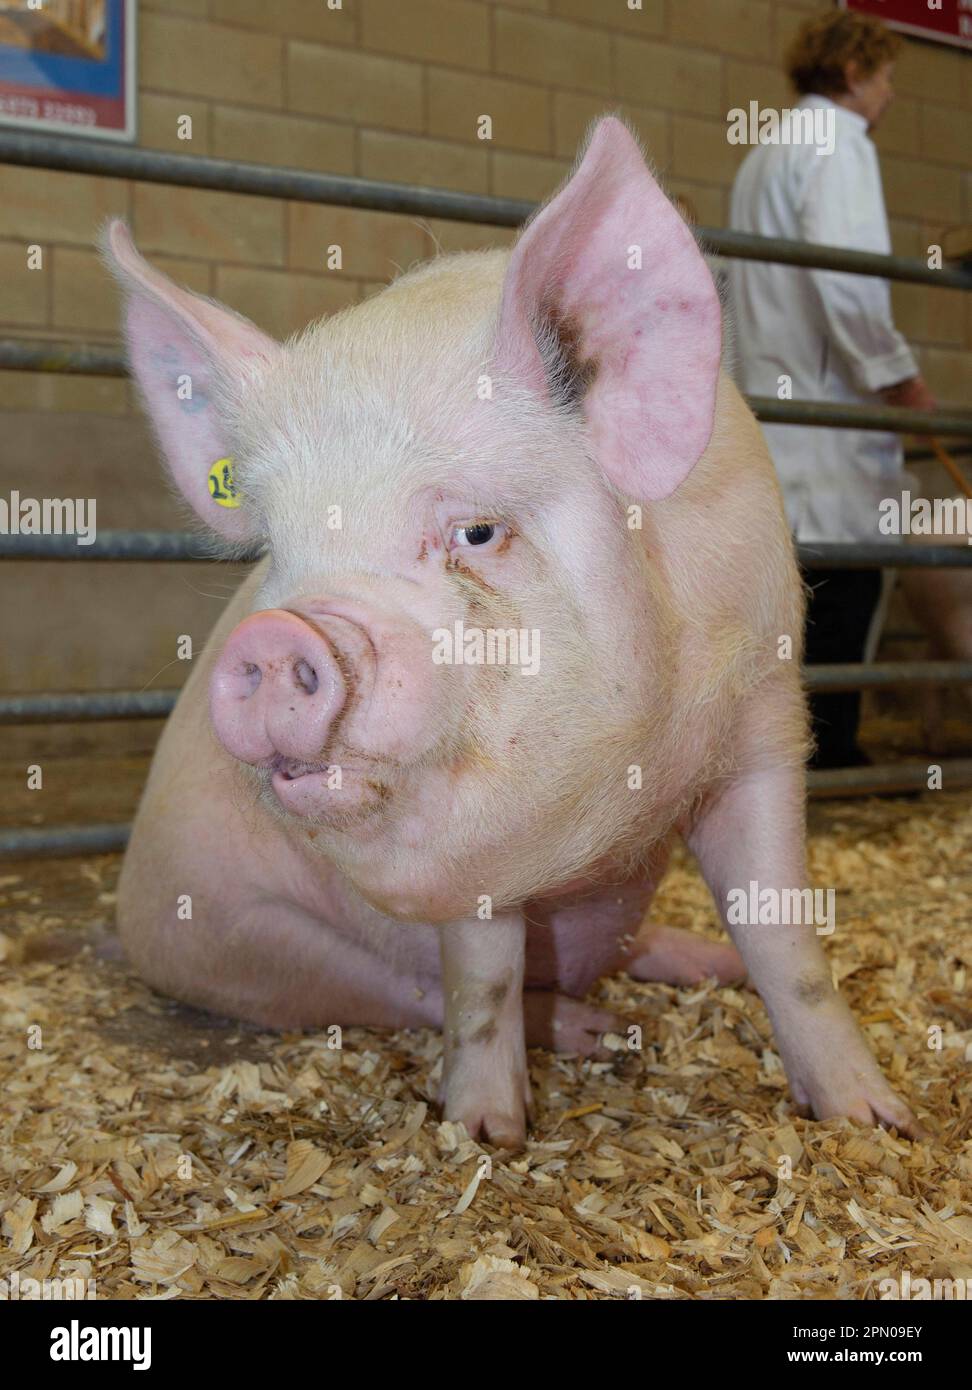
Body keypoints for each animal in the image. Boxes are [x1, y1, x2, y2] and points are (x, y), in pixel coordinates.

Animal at [107, 118, 918, 1146]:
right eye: (278, 548)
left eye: (477, 532)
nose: (278, 638)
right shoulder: (471, 854)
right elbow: (479, 978)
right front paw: (485, 1133)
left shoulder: (767, 717)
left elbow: (786, 936)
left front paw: (875, 1118)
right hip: (248, 941)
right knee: (402, 990)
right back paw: (587, 1028)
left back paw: (696, 970)